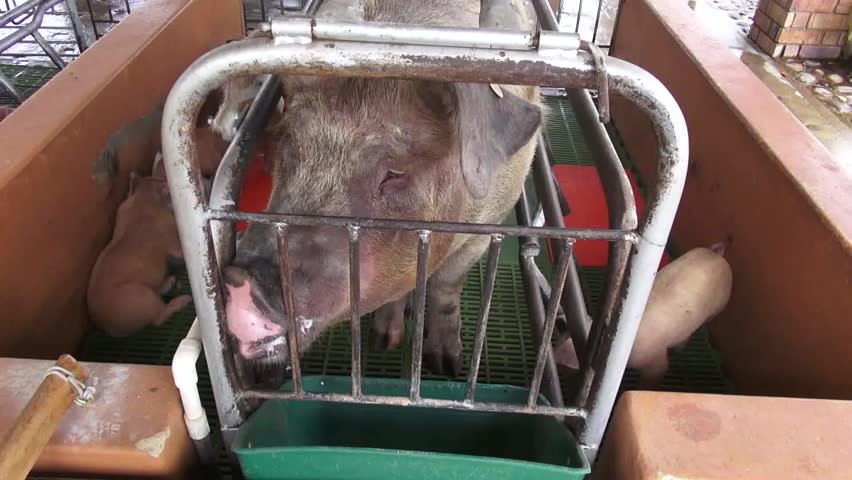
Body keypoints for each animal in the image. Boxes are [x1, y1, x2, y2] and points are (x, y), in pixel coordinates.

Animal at [87, 159, 191, 336]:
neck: (144, 199)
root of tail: (105, 326)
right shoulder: (171, 239)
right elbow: (178, 250)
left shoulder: (123, 207)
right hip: (142, 297)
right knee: (158, 317)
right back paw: (183, 299)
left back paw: (169, 282)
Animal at [223, 0, 541, 377]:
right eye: (288, 146)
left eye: (394, 173)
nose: (240, 277)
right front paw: (384, 342)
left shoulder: (486, 226)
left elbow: (446, 287)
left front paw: (446, 366)